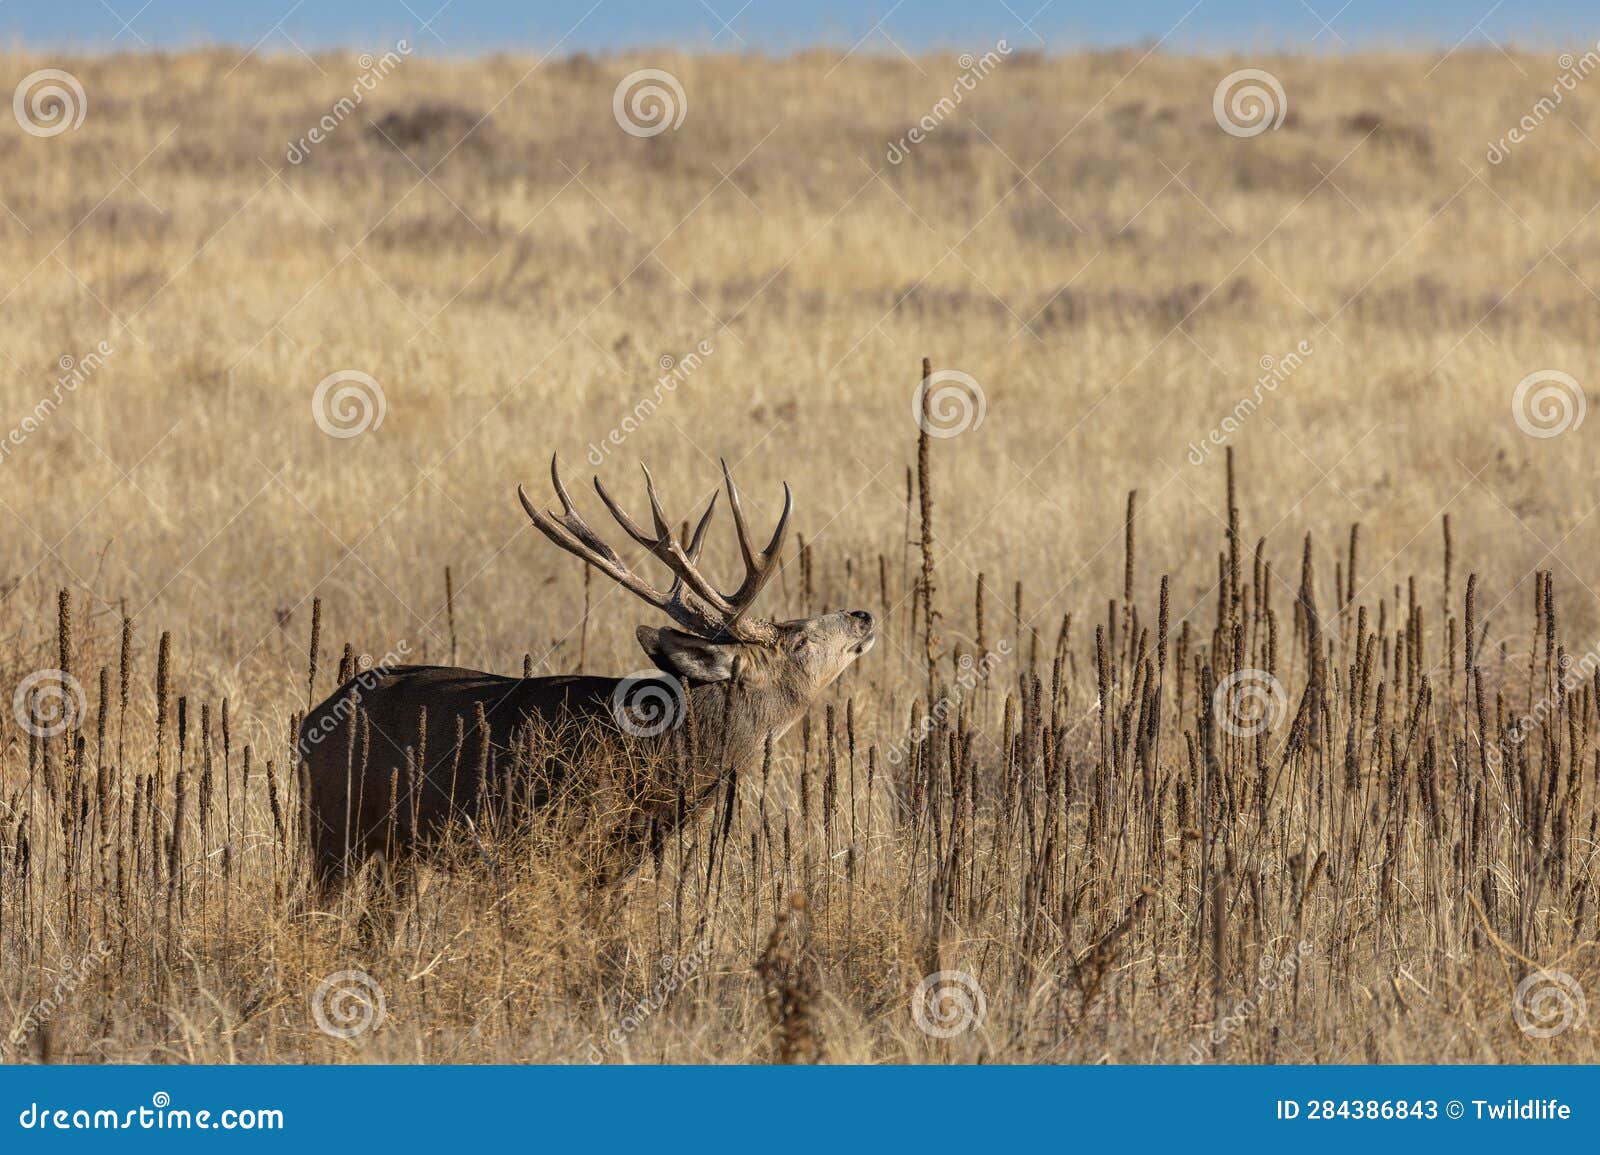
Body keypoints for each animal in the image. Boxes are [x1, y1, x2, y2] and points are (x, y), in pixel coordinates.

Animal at [299, 455, 876, 896]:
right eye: (797, 640)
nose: (862, 615)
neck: (661, 758)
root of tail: (310, 720)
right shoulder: (556, 845)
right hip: (333, 832)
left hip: (399, 855)